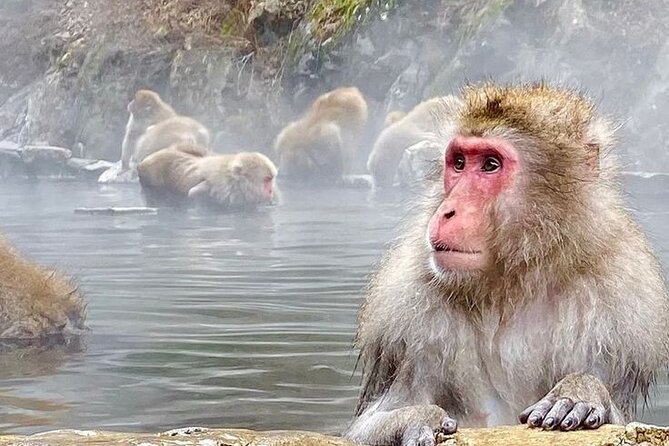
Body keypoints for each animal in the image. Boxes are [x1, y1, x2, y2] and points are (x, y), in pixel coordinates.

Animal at [137, 144, 278, 210]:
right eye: (267, 180)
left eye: (271, 179)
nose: (271, 191)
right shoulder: (221, 189)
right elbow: (194, 192)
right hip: (150, 179)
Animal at [346, 83, 669, 446]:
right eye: (459, 163)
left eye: (490, 164)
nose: (447, 211)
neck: (517, 280)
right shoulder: (407, 317)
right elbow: (362, 428)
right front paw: (415, 418)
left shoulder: (621, 305)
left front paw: (581, 392)